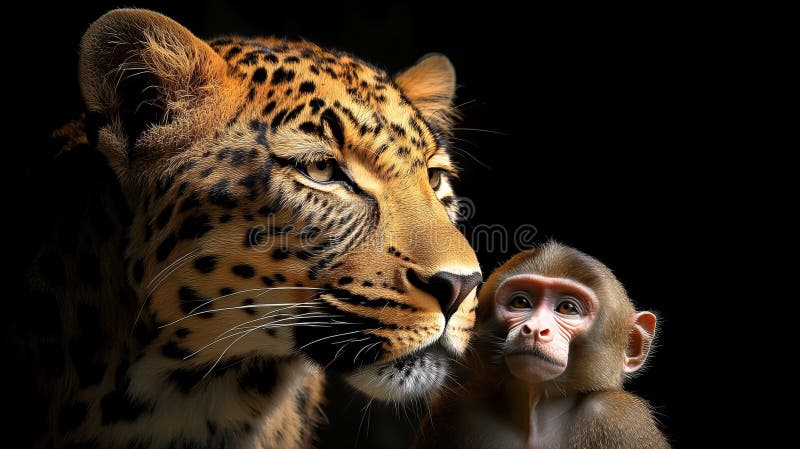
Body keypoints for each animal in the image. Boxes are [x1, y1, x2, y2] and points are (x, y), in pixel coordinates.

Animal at [413, 242, 670, 449]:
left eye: (567, 308)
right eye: (521, 302)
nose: (535, 329)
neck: (534, 416)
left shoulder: (618, 417)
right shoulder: (457, 409)